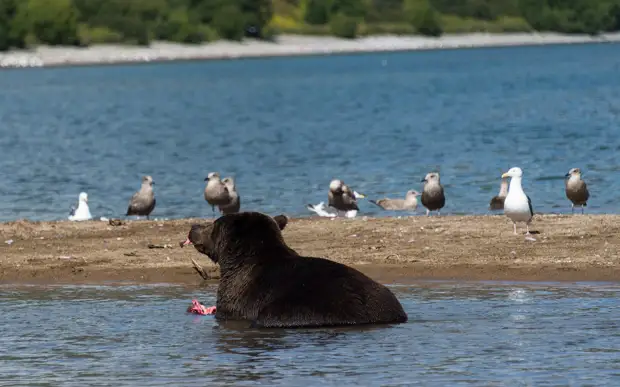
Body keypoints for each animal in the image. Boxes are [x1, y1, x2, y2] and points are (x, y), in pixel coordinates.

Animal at [182, 214, 410, 328]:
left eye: (212, 225)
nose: (193, 228)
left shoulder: (240, 290)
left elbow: (228, 309)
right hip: (382, 300)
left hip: (306, 309)